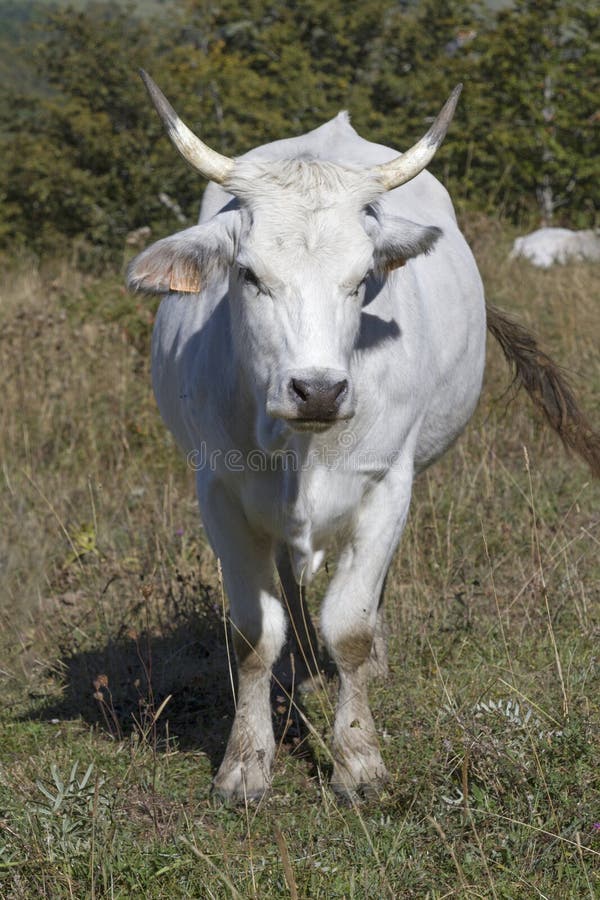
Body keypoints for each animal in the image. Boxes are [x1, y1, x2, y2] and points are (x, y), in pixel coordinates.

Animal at [128, 72, 600, 803]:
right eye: (248, 274)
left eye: (361, 280)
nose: (318, 389)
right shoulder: (220, 492)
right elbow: (253, 635)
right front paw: (245, 764)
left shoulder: (387, 485)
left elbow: (348, 626)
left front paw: (360, 760)